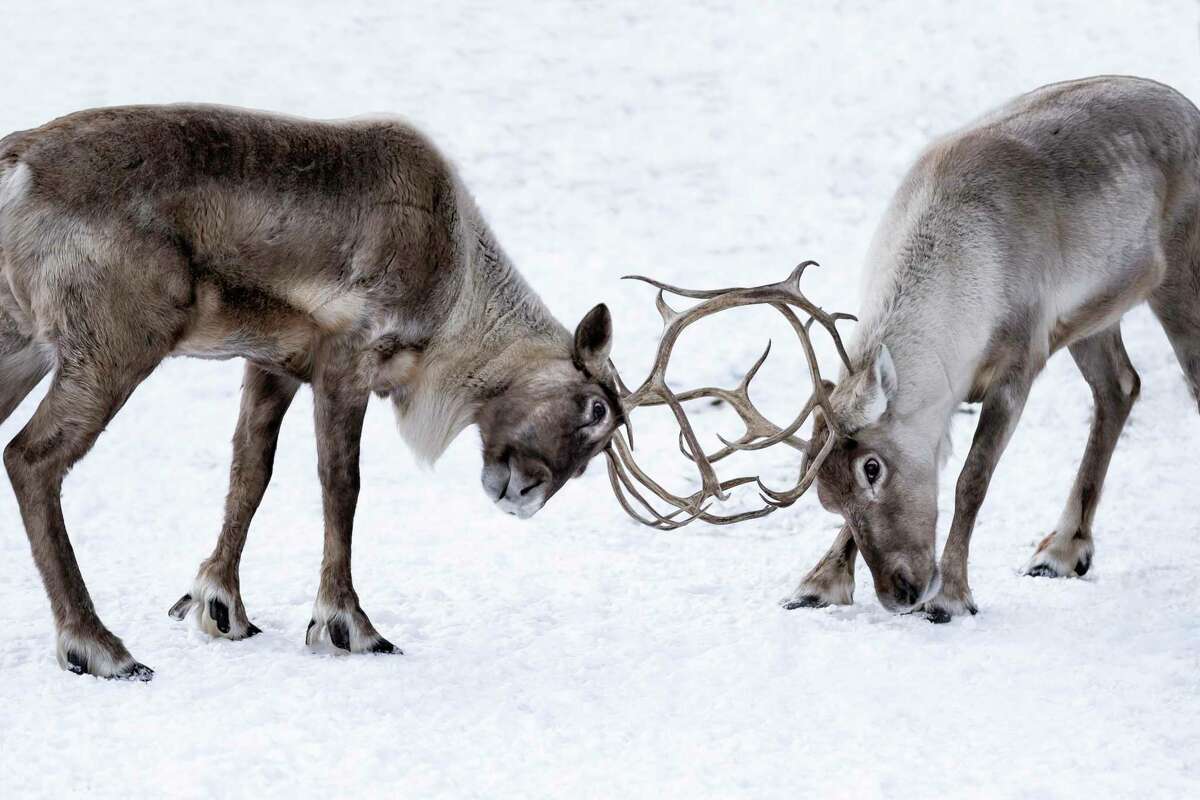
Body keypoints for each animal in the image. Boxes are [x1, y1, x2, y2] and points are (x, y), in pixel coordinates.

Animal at [0, 105, 630, 680]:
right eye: (595, 408)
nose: (525, 495)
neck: (458, 281)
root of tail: (17, 164)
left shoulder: (273, 363)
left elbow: (250, 472)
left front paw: (221, 606)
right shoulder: (348, 359)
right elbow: (341, 487)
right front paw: (348, 625)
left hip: (23, 344)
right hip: (115, 343)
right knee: (30, 458)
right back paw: (99, 648)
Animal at [772, 75, 1200, 620]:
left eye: (873, 468)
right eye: (827, 498)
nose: (900, 593)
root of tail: (1192, 111)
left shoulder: (1019, 361)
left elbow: (971, 480)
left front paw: (951, 597)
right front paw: (818, 584)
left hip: (1180, 274)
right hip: (1093, 316)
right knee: (1119, 386)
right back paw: (1061, 552)